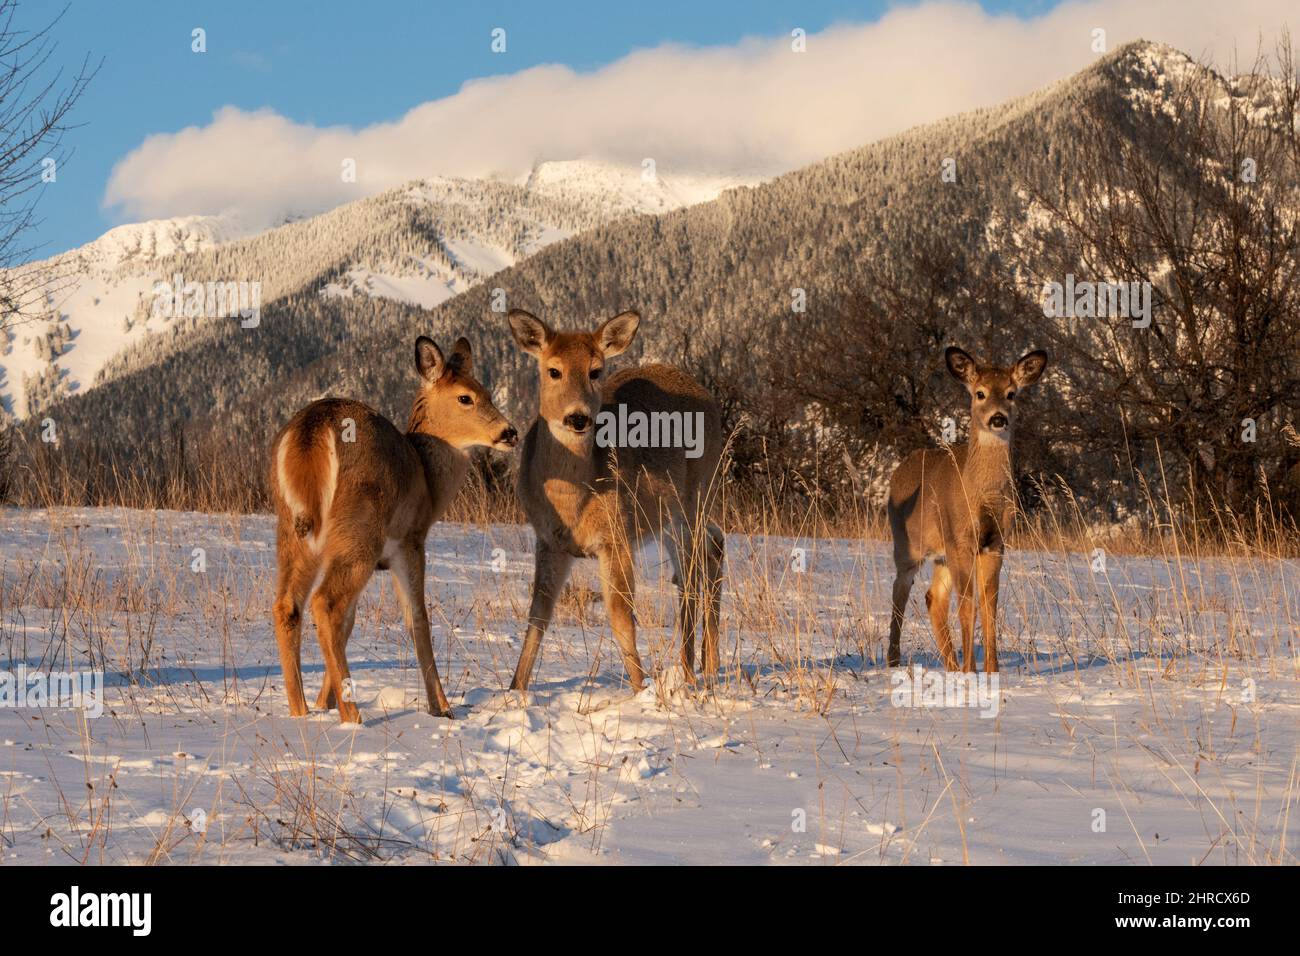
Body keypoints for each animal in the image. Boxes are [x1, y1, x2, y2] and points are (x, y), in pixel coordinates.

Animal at [270, 335, 517, 723]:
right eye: (466, 397)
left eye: (488, 392)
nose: (510, 433)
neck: (429, 479)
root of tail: (310, 432)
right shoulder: (411, 541)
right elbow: (418, 618)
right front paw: (442, 707)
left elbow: (351, 622)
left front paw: (326, 700)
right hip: (360, 529)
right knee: (325, 603)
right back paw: (352, 715)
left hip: (295, 531)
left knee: (289, 606)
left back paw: (302, 711)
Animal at [505, 308, 725, 695]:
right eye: (553, 370)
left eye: (596, 370)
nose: (578, 417)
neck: (573, 503)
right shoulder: (548, 541)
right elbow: (538, 615)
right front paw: (515, 690)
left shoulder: (615, 536)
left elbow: (621, 616)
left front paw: (642, 690)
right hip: (670, 517)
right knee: (711, 549)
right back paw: (707, 664)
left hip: (698, 494)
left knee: (692, 577)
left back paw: (689, 671)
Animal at [886, 346, 1048, 674]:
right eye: (980, 393)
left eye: (1011, 393)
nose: (998, 418)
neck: (981, 495)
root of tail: (899, 470)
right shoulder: (960, 538)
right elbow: (967, 604)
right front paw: (971, 671)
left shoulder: (996, 542)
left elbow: (989, 605)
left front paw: (991, 670)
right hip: (908, 544)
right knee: (900, 591)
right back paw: (893, 660)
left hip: (942, 555)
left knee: (933, 597)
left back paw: (950, 664)